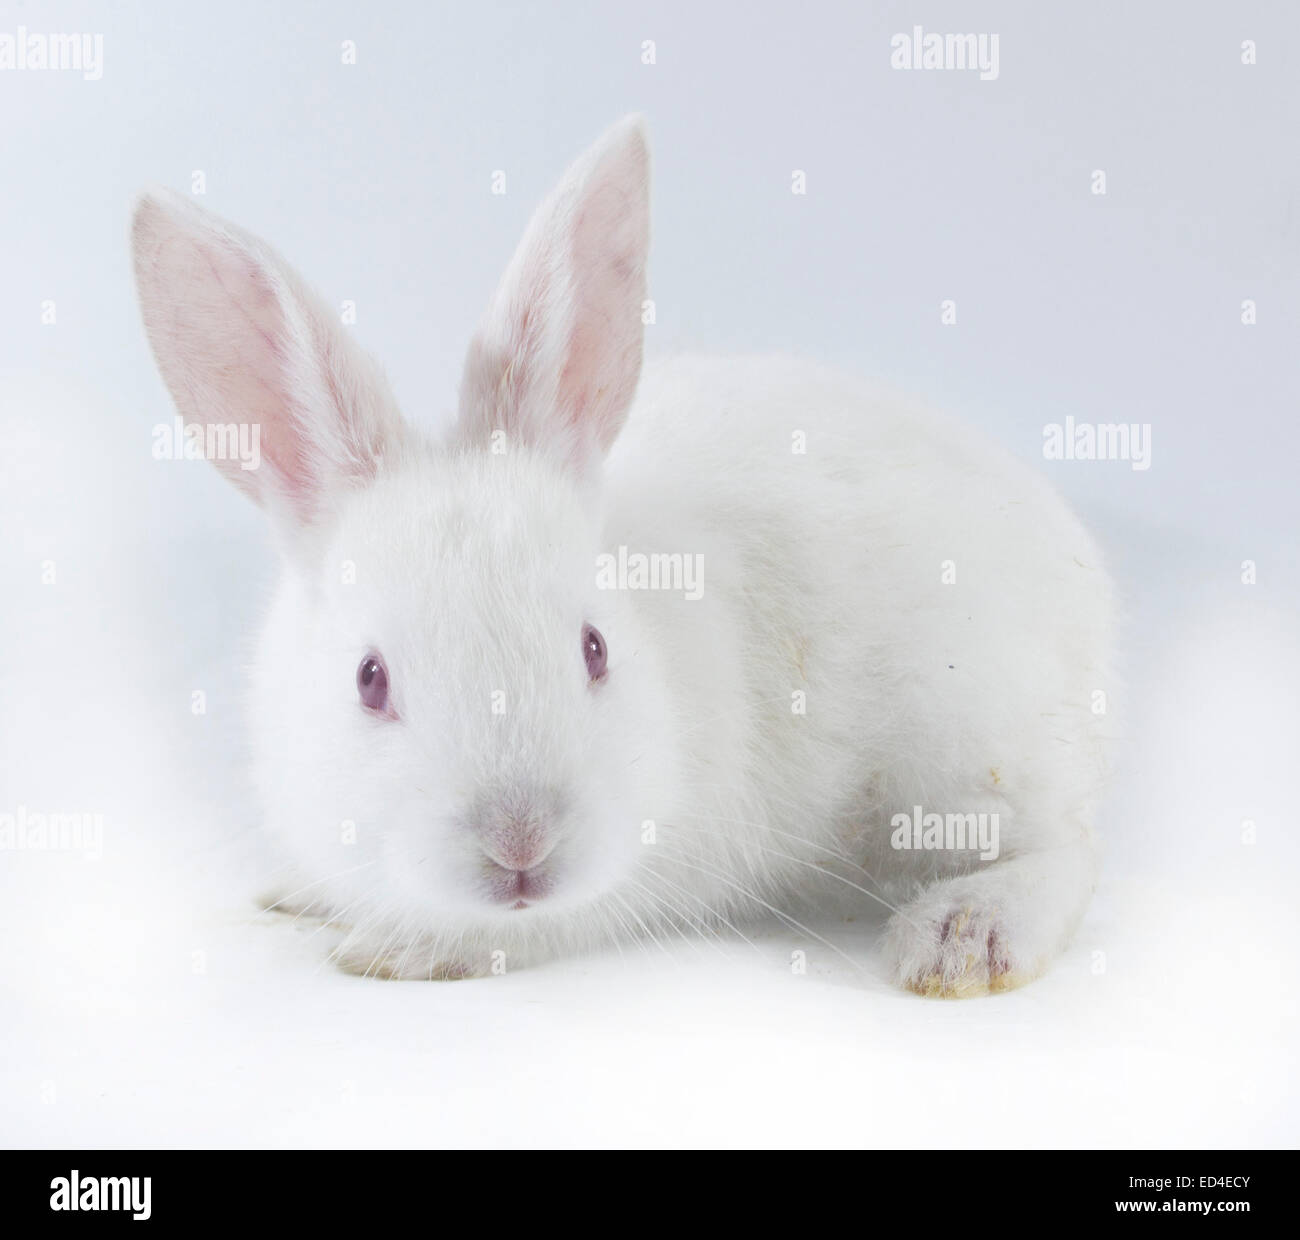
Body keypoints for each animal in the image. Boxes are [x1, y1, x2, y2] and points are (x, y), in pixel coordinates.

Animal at [132, 115, 1114, 997]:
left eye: (595, 650)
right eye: (369, 681)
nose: (522, 848)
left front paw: (405, 949)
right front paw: (299, 897)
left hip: (968, 747)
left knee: (1065, 847)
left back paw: (962, 939)